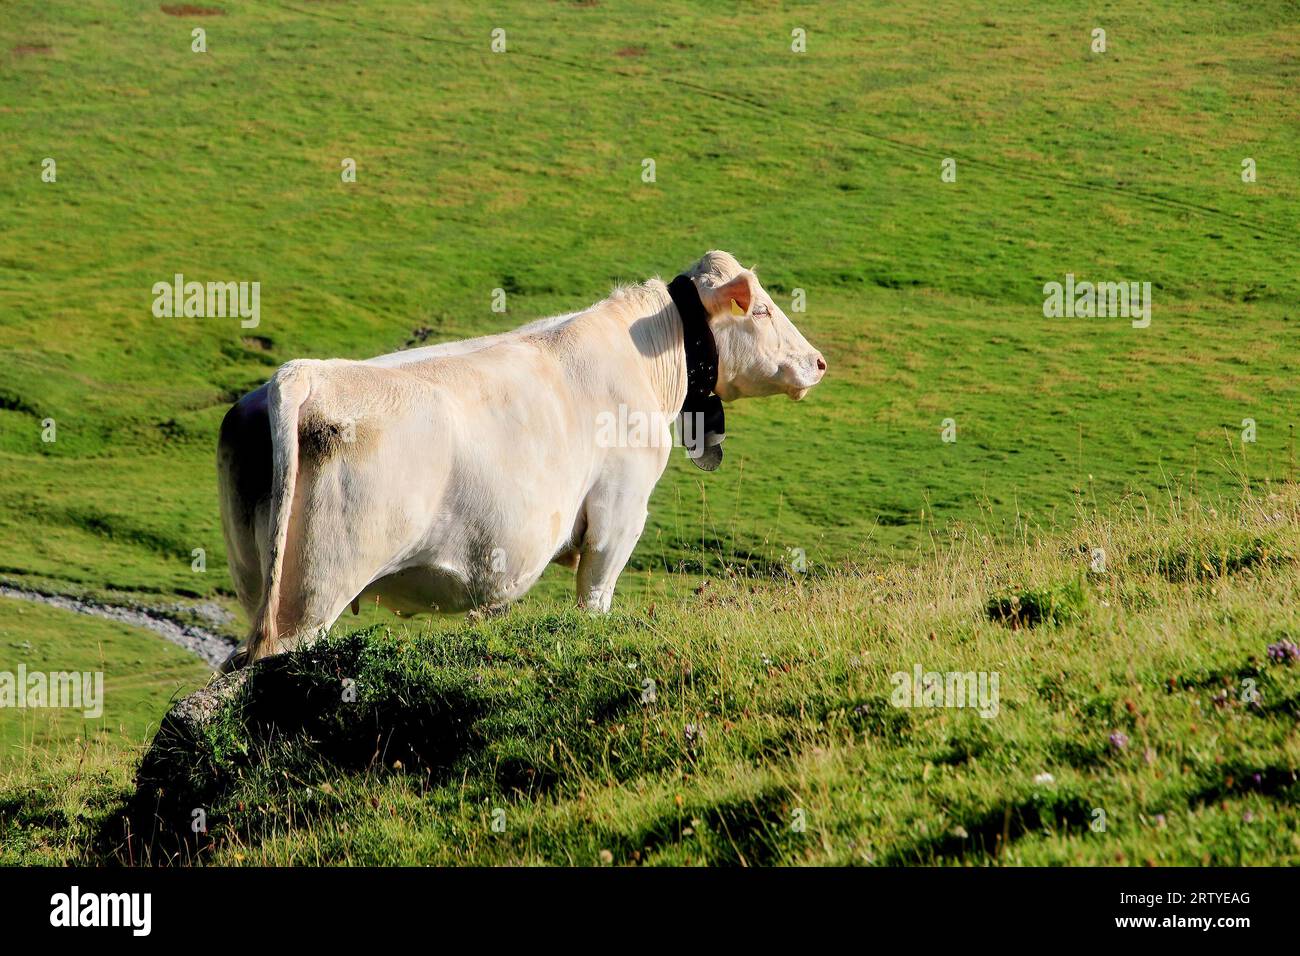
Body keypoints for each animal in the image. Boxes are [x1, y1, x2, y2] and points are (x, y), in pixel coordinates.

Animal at [216, 251, 826, 669]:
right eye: (763, 310)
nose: (818, 362)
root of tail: (301, 374)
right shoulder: (619, 514)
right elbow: (594, 602)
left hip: (259, 584)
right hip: (313, 593)